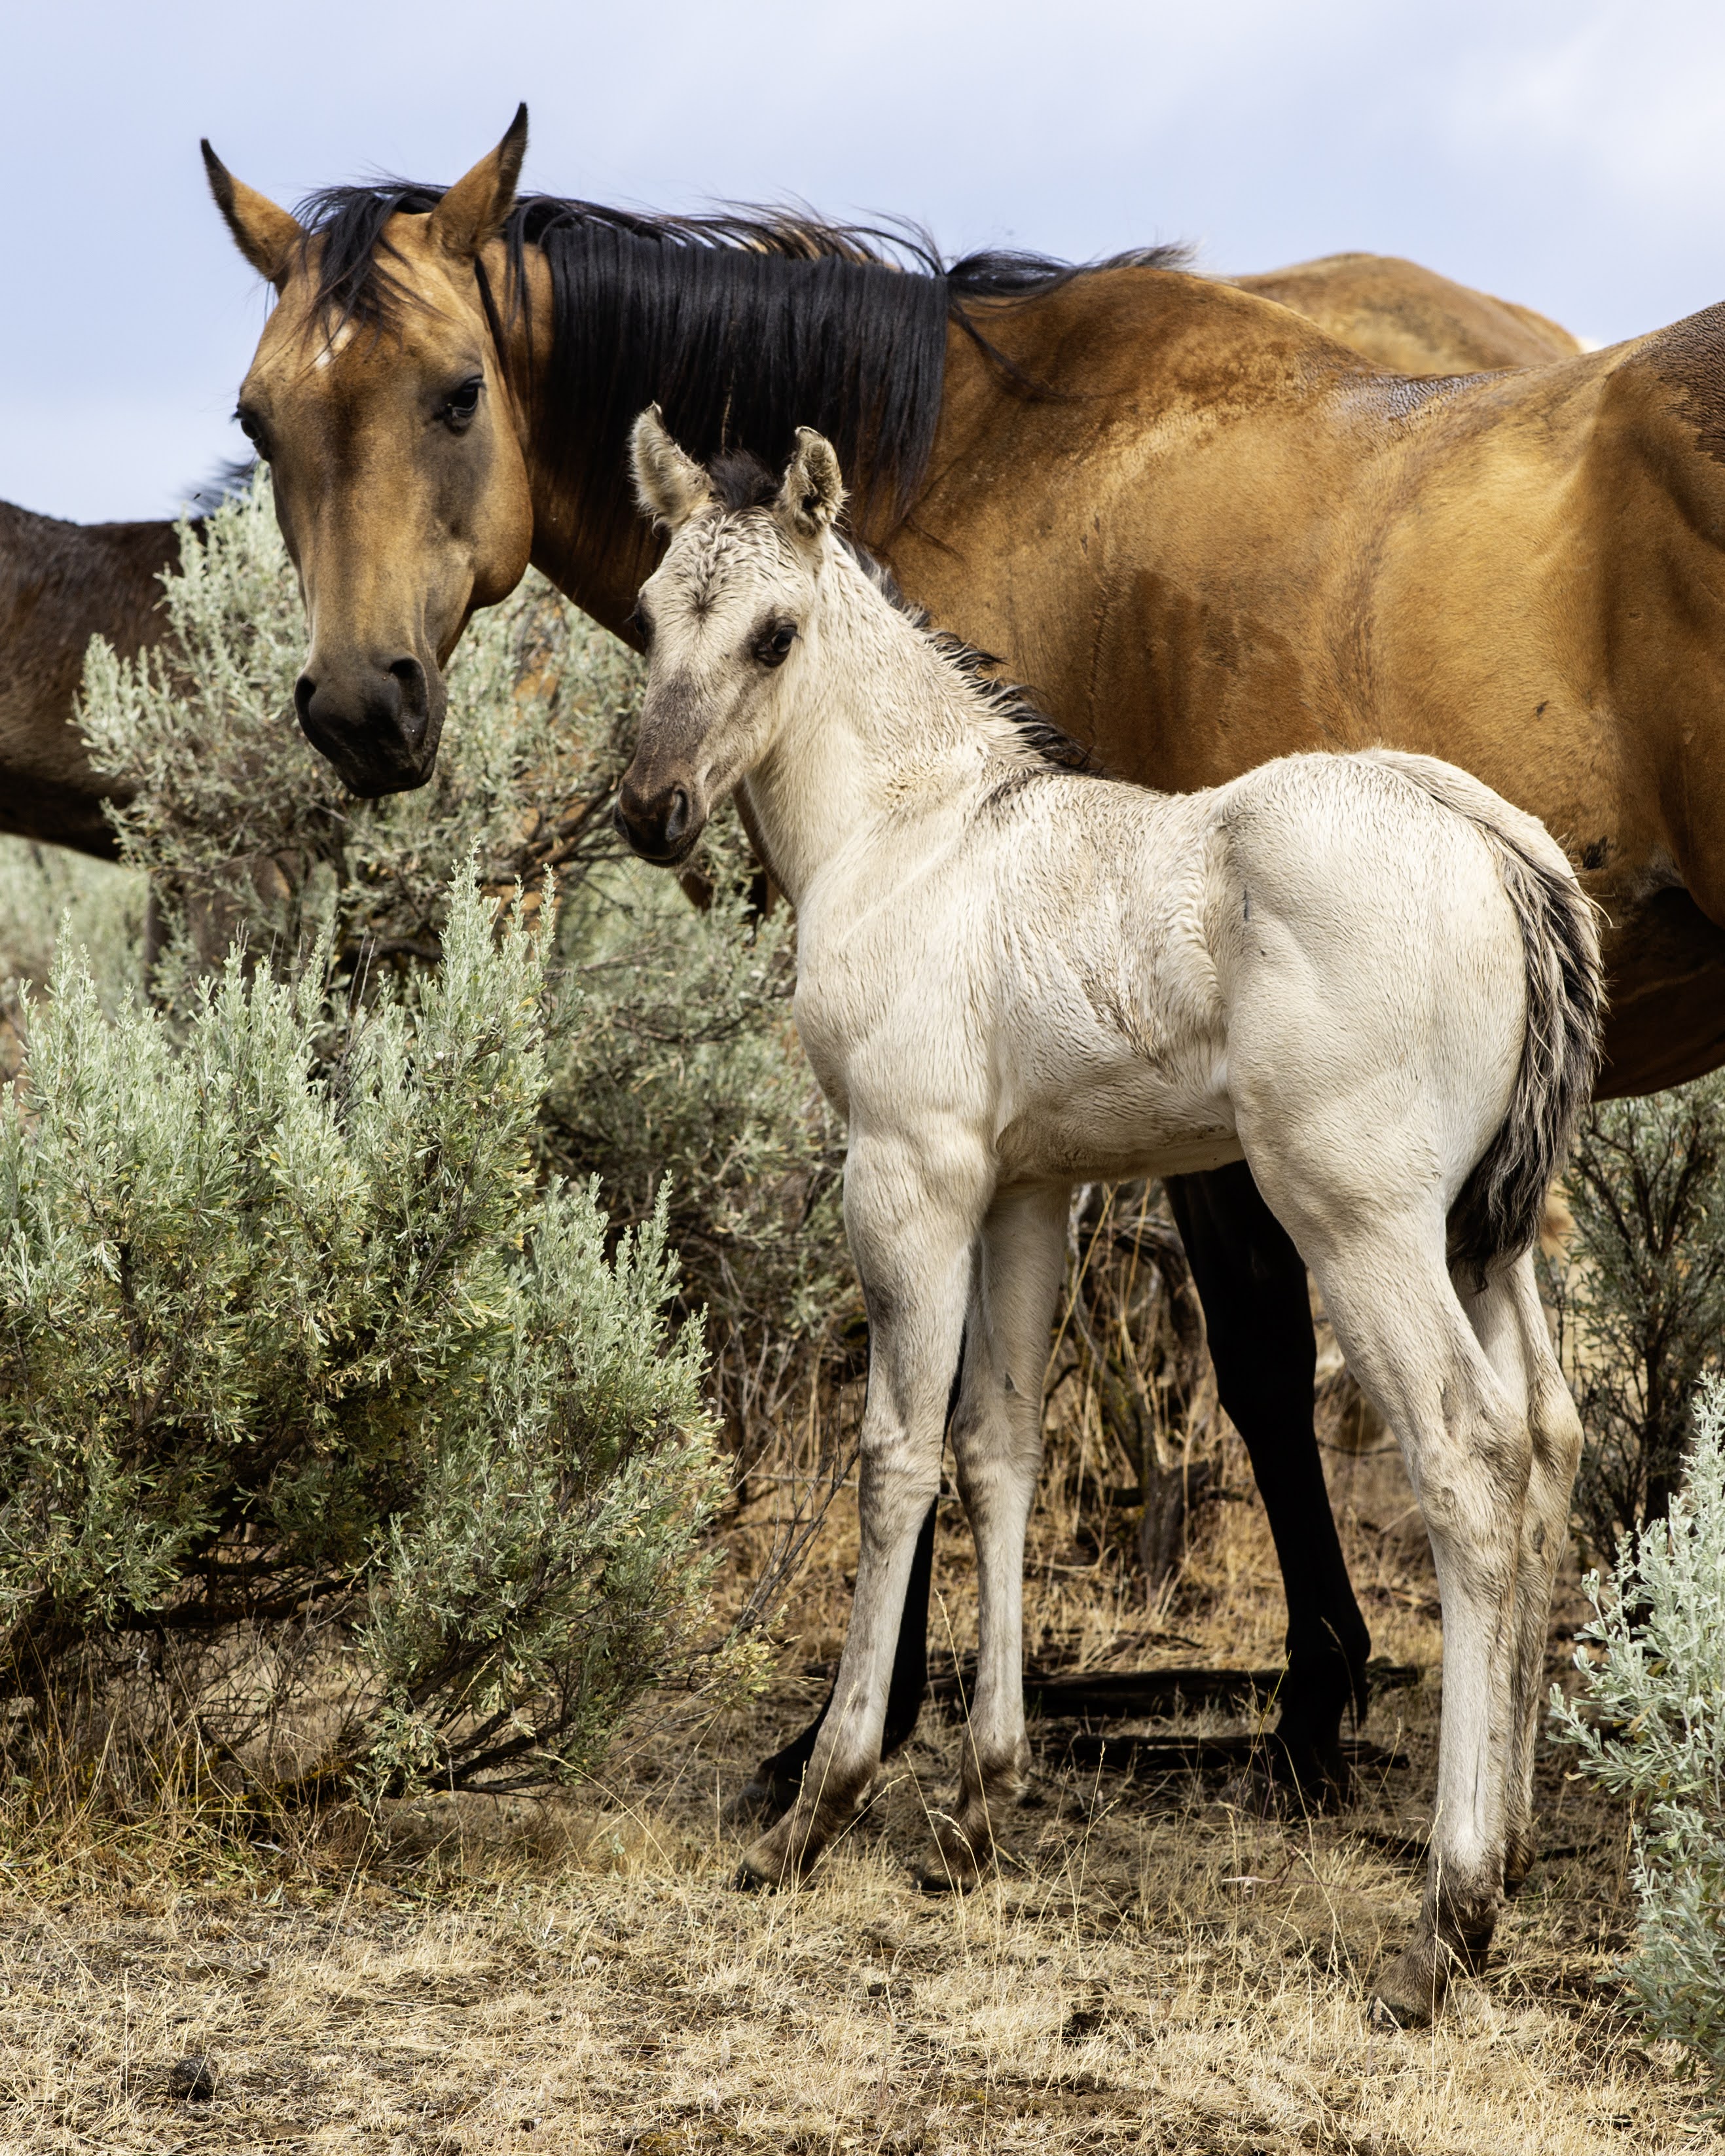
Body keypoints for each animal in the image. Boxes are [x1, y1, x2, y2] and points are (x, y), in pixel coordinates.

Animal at [615, 409, 1601, 2024]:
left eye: (774, 633)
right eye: (648, 616)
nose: (652, 810)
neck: (916, 832)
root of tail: (1500, 847)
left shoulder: (908, 1172)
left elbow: (897, 1458)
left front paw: (820, 1806)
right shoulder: (1027, 1190)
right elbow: (999, 1450)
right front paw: (973, 1811)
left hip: (1359, 1223)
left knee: (1470, 1458)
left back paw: (1442, 1927)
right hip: (1483, 1234)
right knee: (1553, 1446)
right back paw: (1507, 1856)